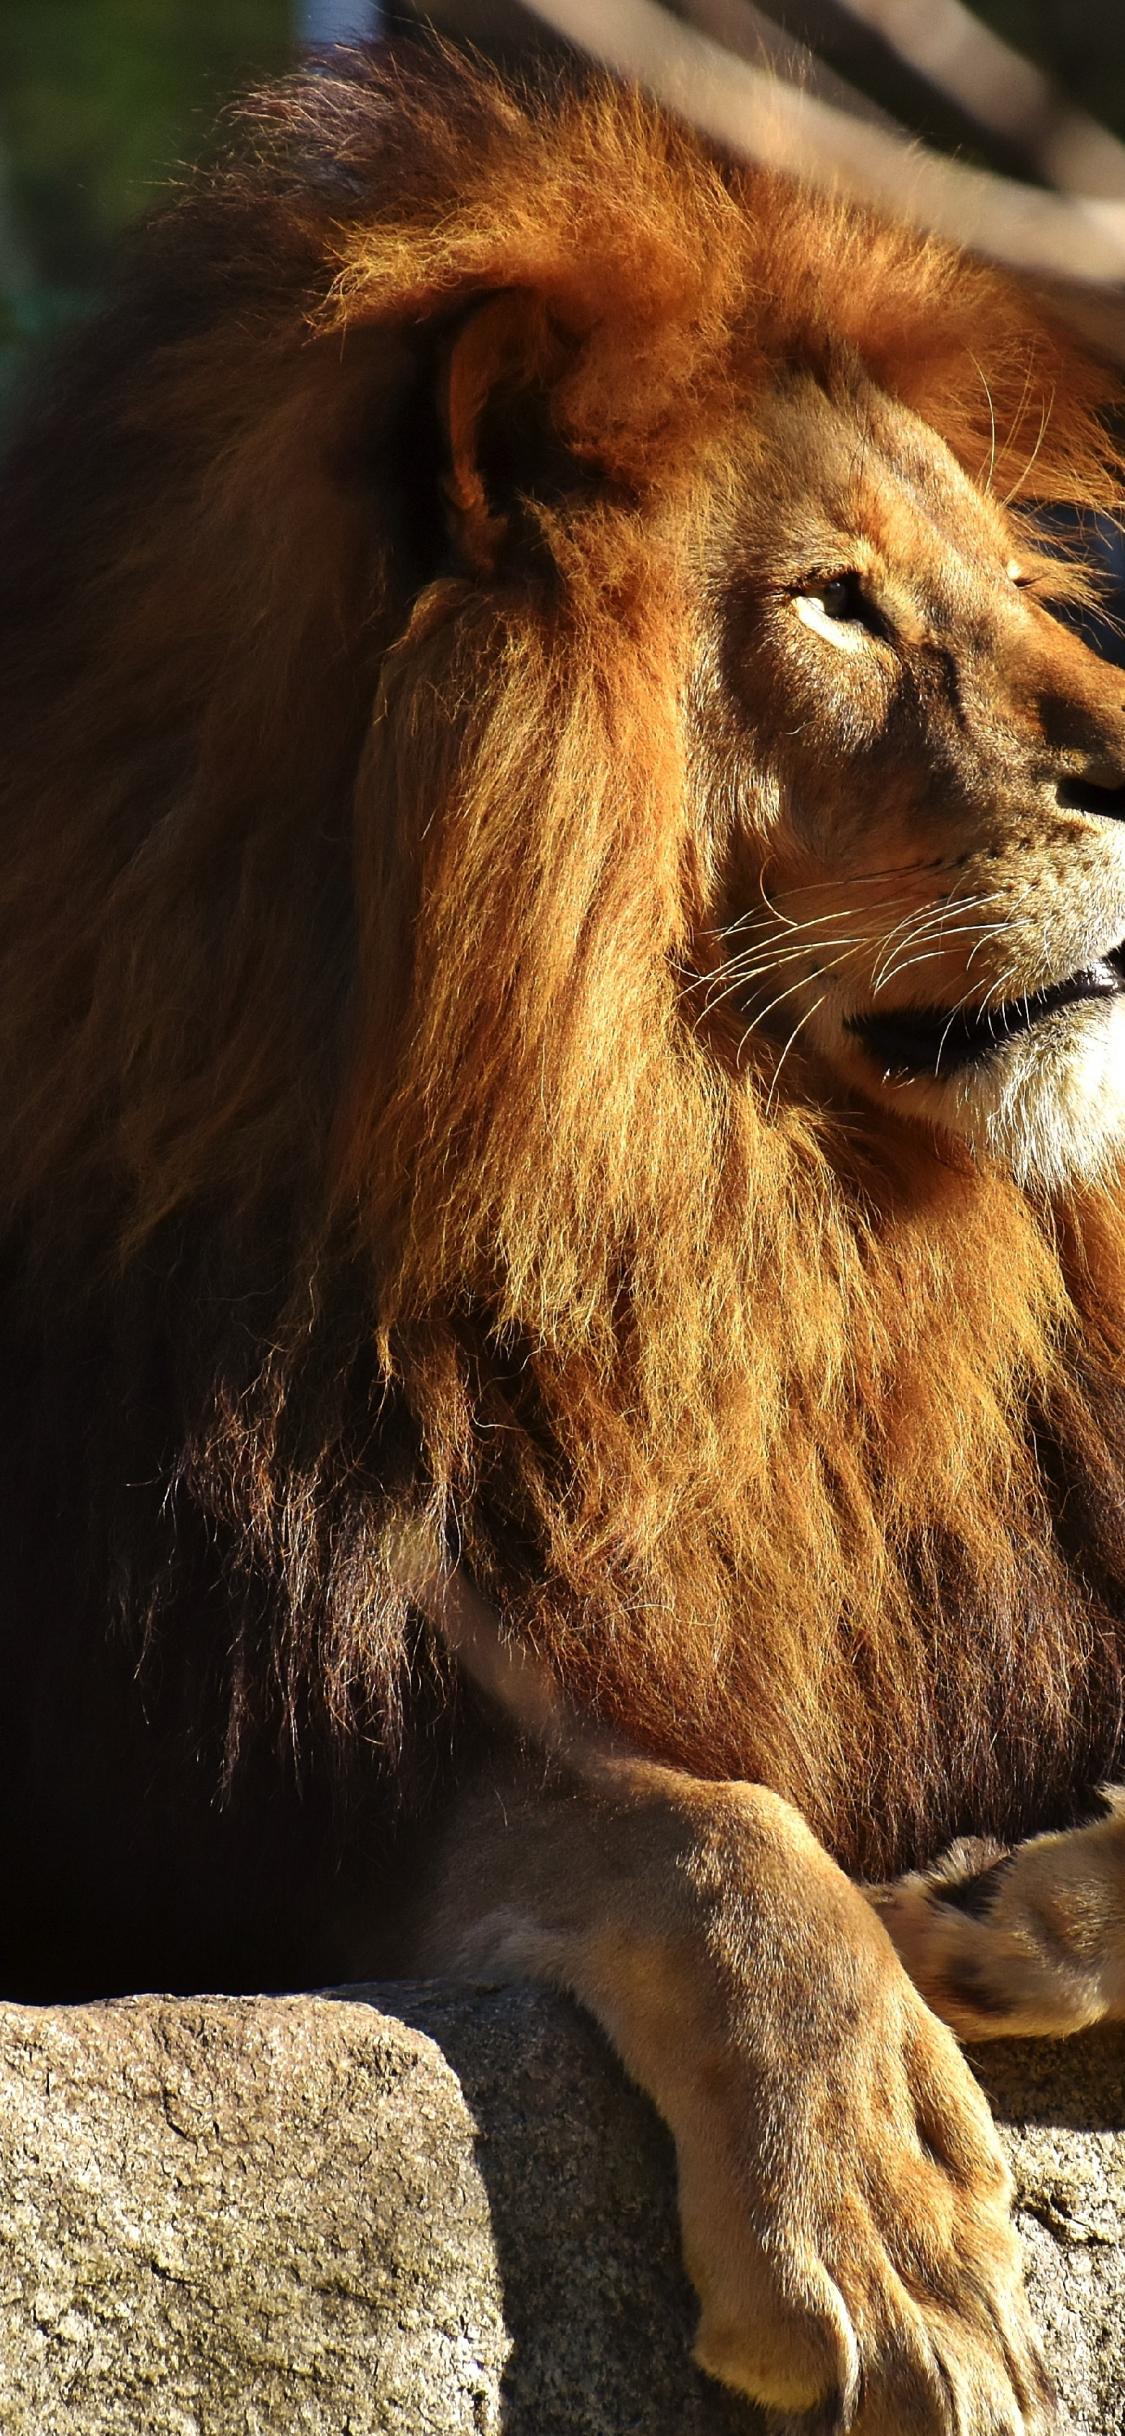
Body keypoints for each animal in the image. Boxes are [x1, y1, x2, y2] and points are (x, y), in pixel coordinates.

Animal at [3, 39, 1125, 2431]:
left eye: (1008, 579)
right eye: (836, 600)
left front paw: (1034, 1909)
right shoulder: (172, 1775)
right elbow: (656, 1810)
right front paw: (873, 2191)